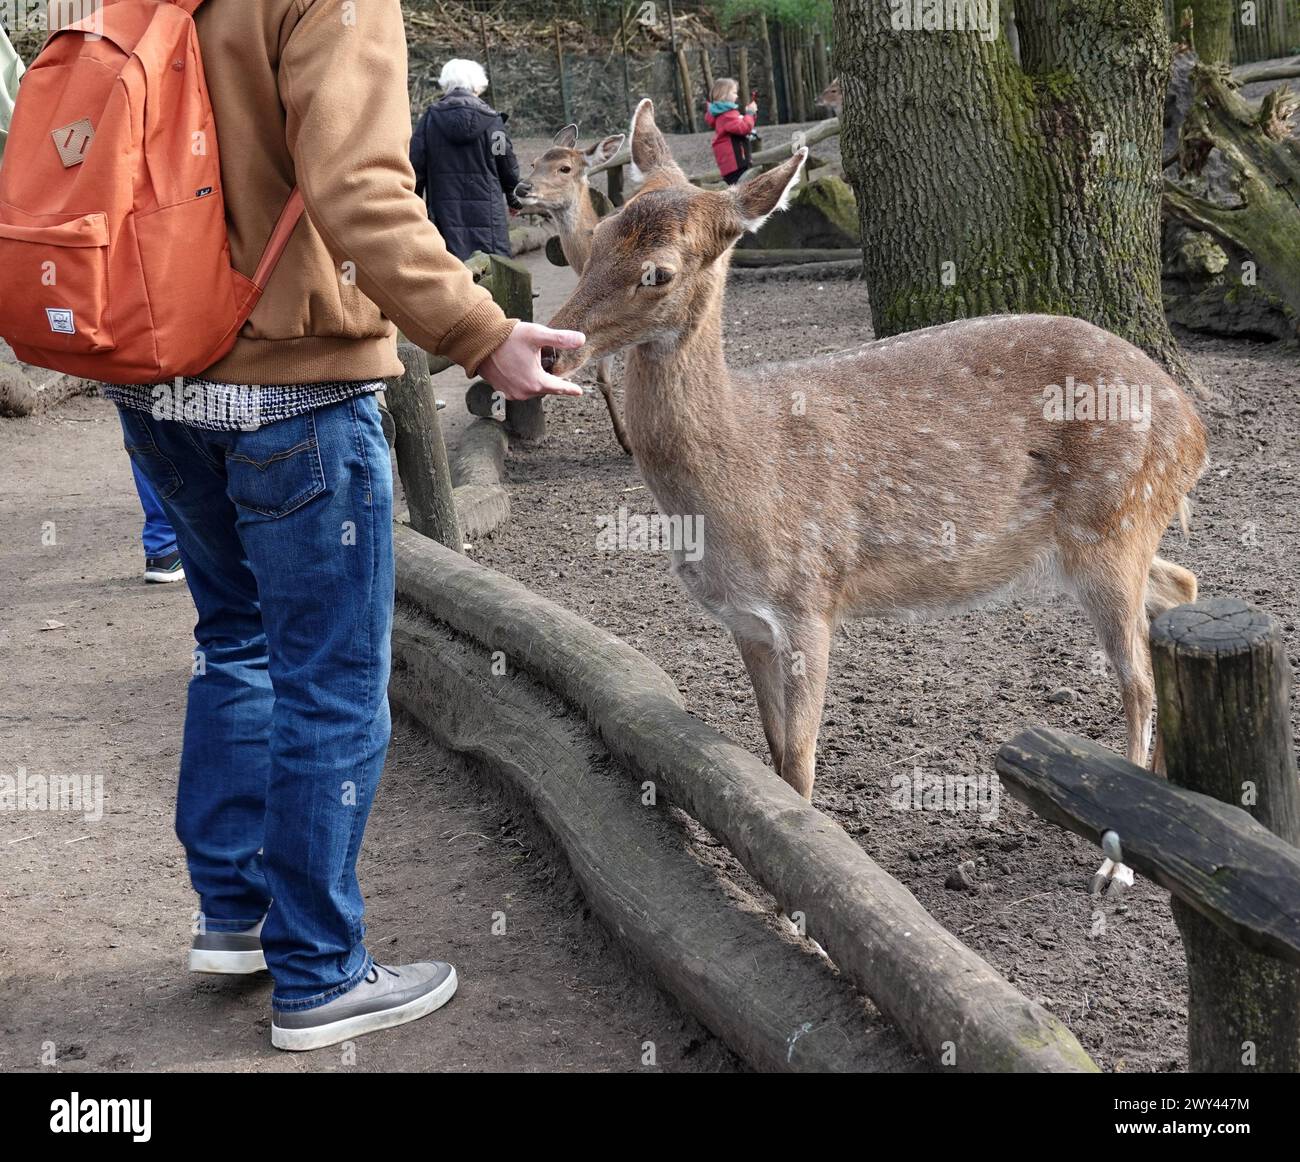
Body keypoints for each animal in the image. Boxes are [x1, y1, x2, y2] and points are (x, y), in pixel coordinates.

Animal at [545, 99, 1209, 897]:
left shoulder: (809, 599)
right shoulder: (744, 621)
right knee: (1180, 585)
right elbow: (772, 754)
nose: (550, 347)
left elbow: (800, 768)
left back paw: (1117, 866)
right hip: (1113, 533)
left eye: (658, 272)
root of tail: (1195, 428)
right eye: (601, 233)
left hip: (1114, 518)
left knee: (1137, 677)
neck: (739, 482)